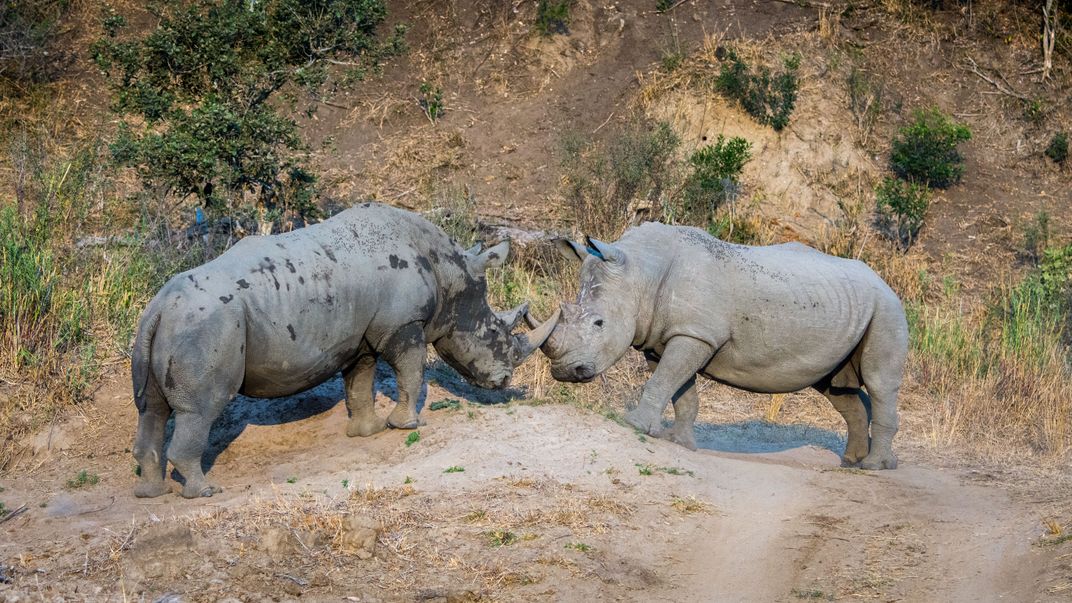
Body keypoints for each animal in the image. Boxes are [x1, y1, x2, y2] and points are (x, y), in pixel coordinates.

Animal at [131, 202, 557, 498]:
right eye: (494, 333)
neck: (450, 273)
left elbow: (360, 382)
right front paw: (406, 426)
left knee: (152, 409)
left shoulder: (362, 335)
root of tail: (160, 306)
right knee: (202, 409)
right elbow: (411, 372)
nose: (504, 383)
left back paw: (151, 493)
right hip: (205, 326)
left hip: (165, 326)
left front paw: (367, 432)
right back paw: (204, 491)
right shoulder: (403, 325)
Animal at [536, 222, 907, 470]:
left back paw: (875, 467)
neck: (641, 272)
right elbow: (680, 391)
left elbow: (663, 382)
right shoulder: (667, 338)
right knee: (837, 389)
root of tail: (884, 281)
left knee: (879, 383)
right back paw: (851, 462)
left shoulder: (695, 334)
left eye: (599, 324)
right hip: (850, 307)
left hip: (887, 308)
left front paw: (635, 426)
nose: (566, 372)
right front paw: (679, 442)